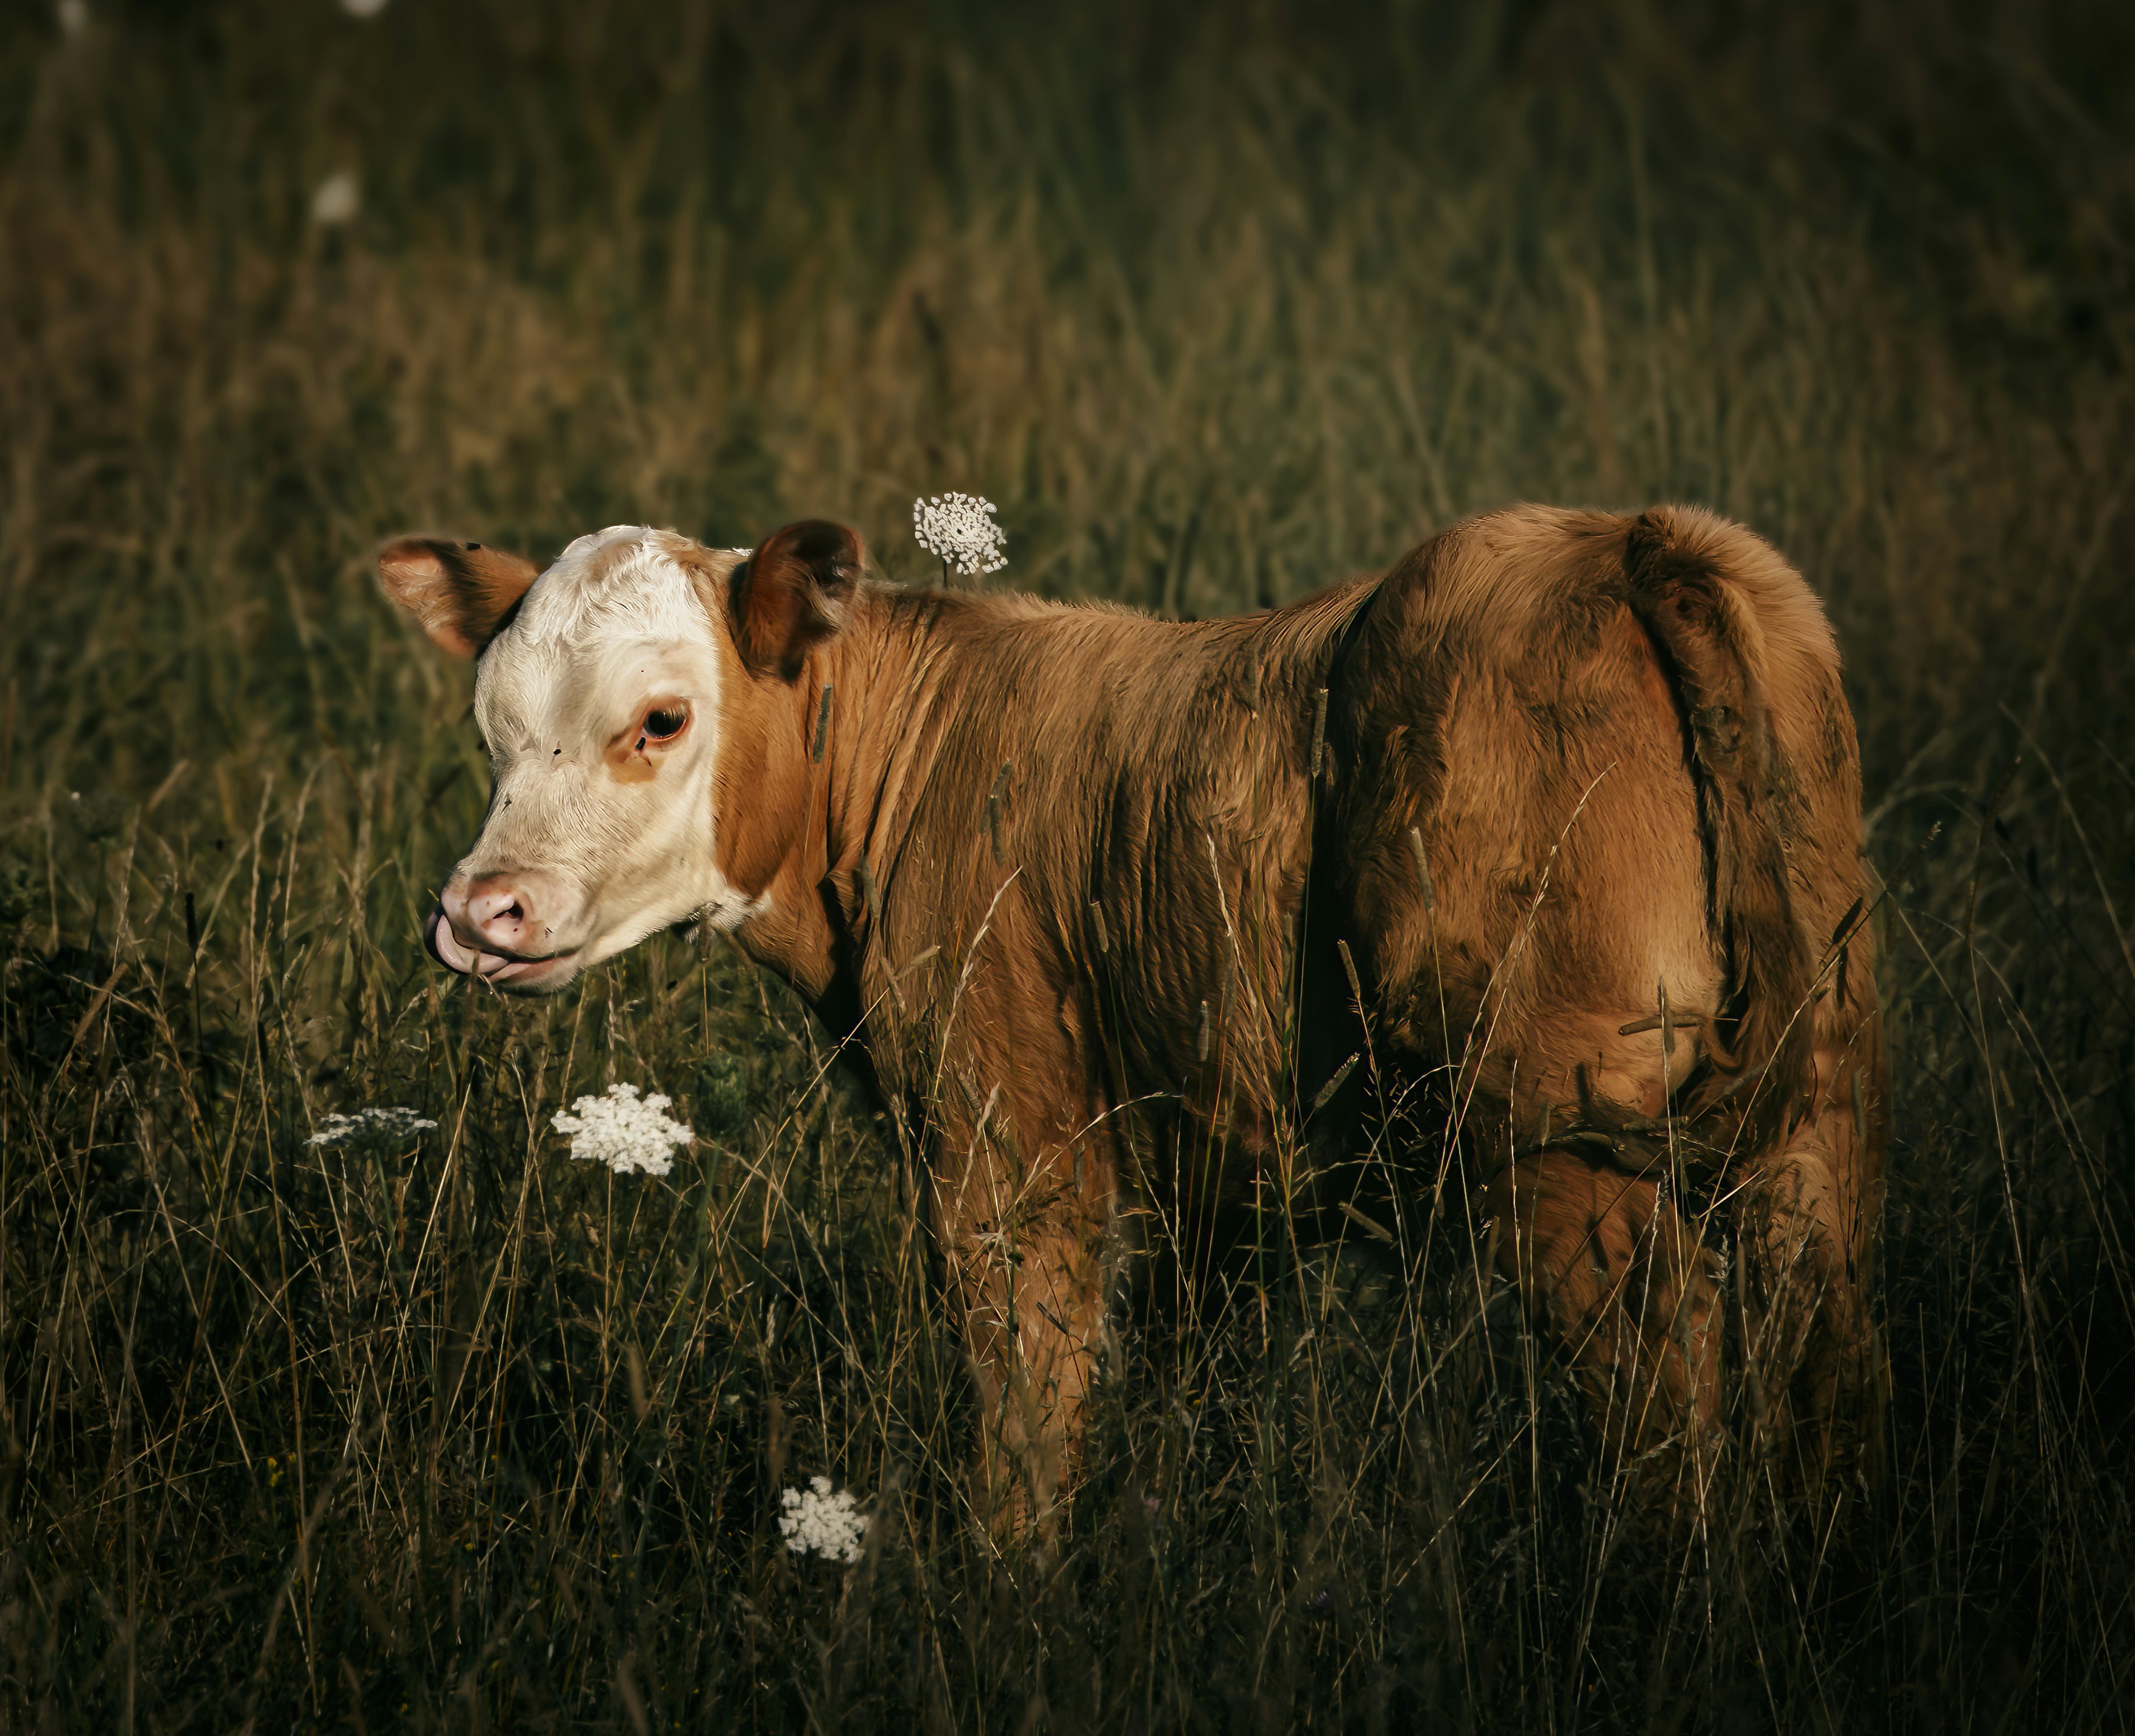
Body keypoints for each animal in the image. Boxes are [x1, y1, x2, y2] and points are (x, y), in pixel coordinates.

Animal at [377, 505, 1885, 1532]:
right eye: (492, 726)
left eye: (661, 720)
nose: (481, 911)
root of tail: (1618, 538)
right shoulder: (1218, 1174)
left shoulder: (1006, 1144)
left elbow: (1027, 1405)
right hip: (1815, 1104)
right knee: (1813, 1347)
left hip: (1552, 1133)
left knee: (1672, 1384)